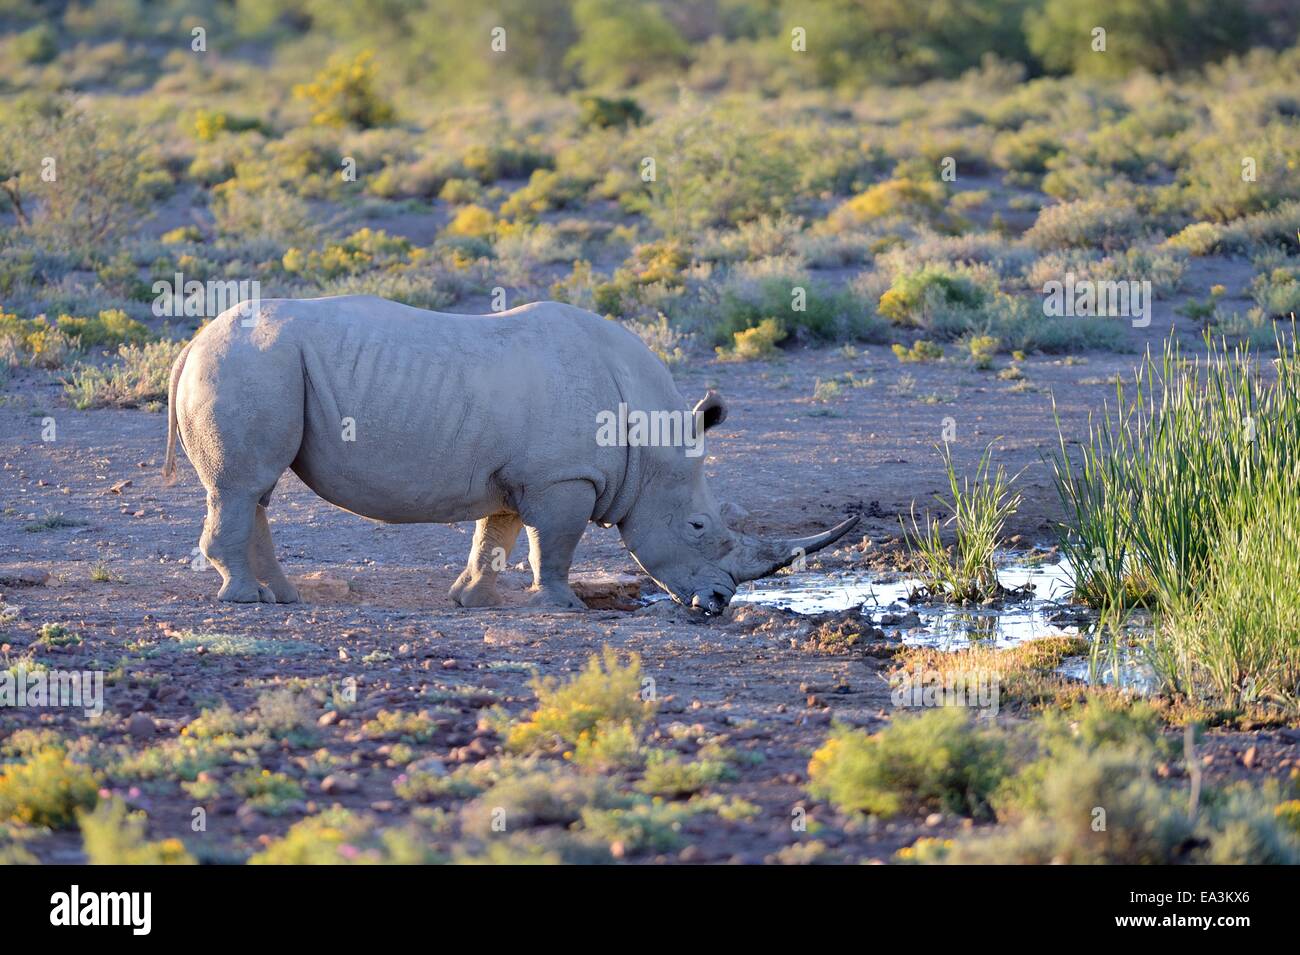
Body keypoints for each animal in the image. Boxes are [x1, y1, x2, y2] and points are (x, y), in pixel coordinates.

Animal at [164, 295, 858, 613]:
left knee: (256, 489)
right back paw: (244, 600)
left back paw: (282, 597)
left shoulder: (516, 474)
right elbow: (554, 543)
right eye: (697, 527)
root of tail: (193, 341)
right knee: (242, 486)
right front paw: (563, 607)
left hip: (258, 366)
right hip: (251, 365)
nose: (717, 604)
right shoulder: (562, 477)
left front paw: (473, 601)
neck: (645, 436)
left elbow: (493, 534)